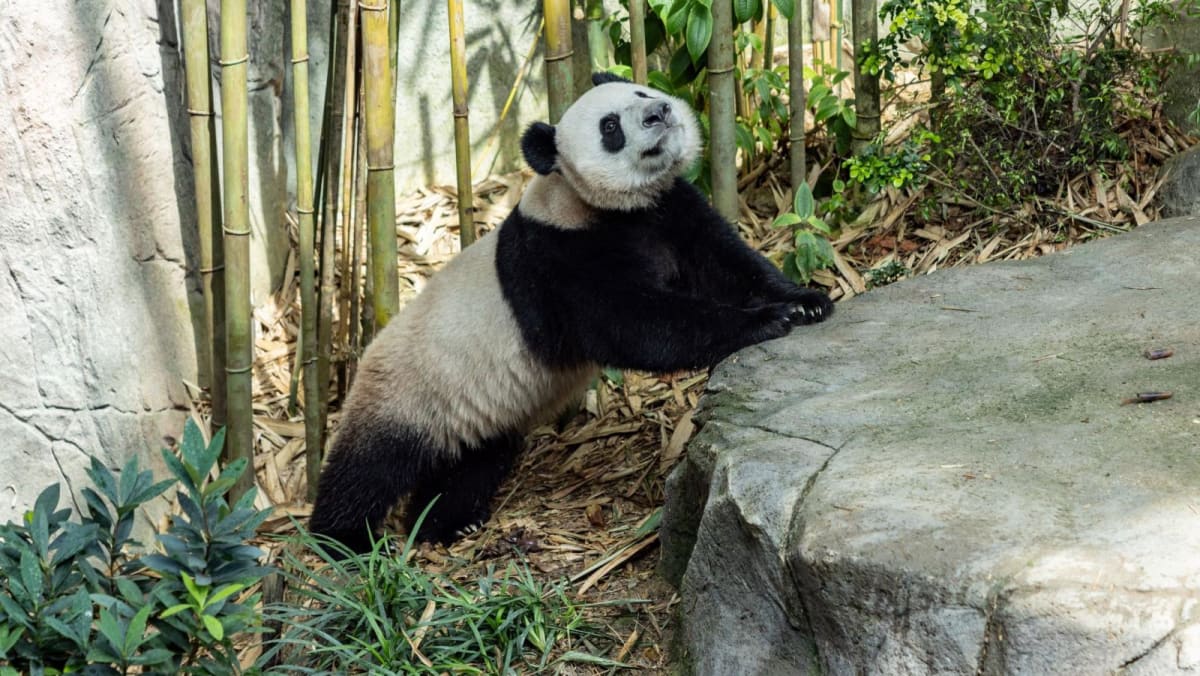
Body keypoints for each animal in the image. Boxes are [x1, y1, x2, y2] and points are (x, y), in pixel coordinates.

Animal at [309, 72, 833, 552]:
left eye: (640, 92)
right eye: (610, 127)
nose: (659, 112)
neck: (599, 206)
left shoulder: (671, 209)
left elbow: (726, 263)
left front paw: (804, 300)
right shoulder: (559, 260)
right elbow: (634, 326)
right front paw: (764, 320)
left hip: (480, 416)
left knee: (472, 464)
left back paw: (444, 524)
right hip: (408, 392)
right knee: (369, 468)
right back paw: (343, 539)